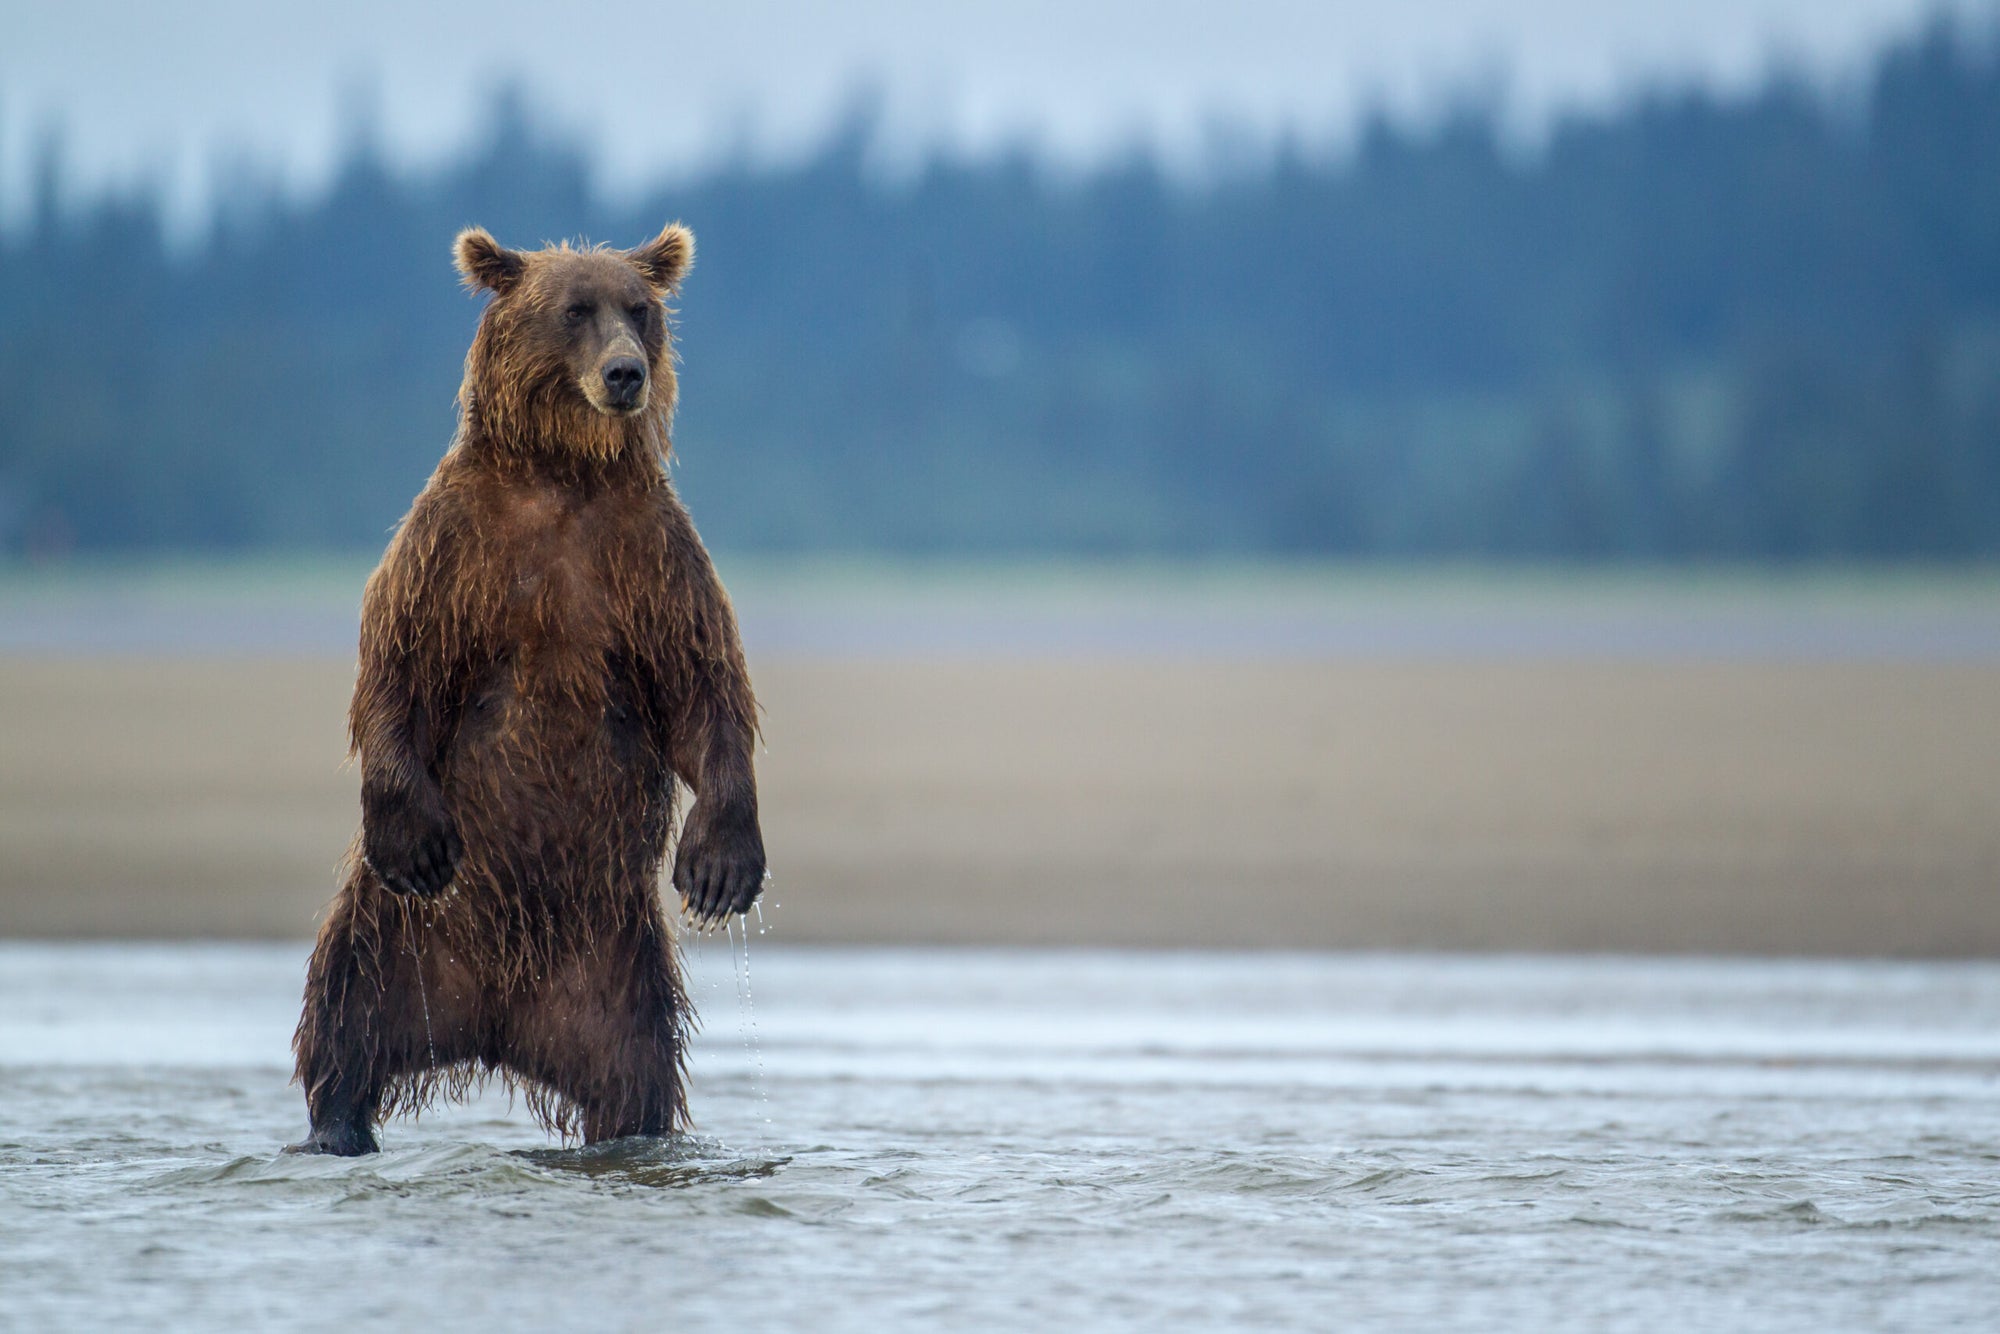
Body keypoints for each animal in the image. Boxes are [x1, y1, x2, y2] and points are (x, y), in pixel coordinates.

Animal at [291, 221, 767, 1155]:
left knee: (634, 1077)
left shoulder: (650, 559)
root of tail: (494, 1024)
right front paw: (416, 836)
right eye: (575, 308)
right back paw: (335, 1128)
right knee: (343, 1024)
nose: (626, 373)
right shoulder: (453, 549)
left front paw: (721, 866)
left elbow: (703, 689)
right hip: (394, 936)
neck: (561, 474)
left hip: (614, 970)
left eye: (639, 308)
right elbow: (399, 671)